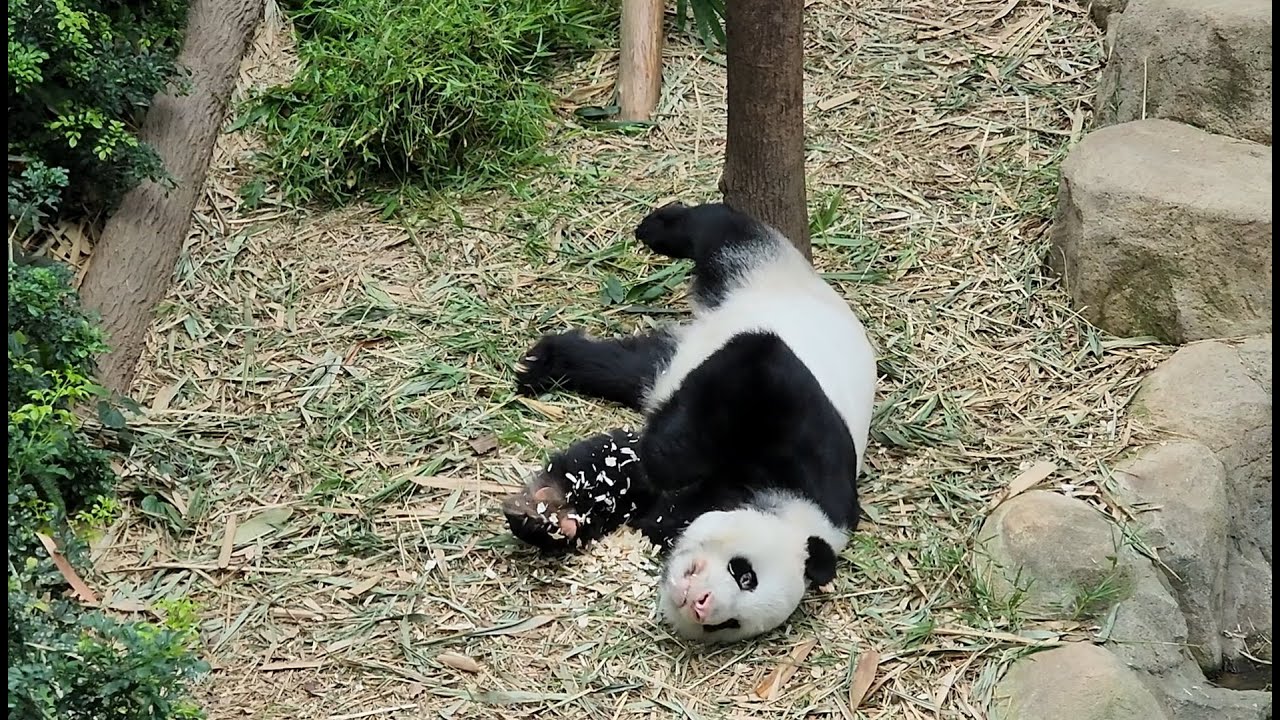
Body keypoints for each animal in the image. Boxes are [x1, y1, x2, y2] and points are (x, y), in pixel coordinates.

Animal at [500, 201, 877, 643]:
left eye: (730, 624)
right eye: (744, 574)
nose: (702, 606)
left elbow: (619, 482)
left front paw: (554, 515)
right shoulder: (807, 441)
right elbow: (757, 365)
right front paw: (656, 457)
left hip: (666, 362)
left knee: (627, 367)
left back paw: (549, 362)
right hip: (757, 274)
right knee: (722, 236)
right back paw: (662, 227)